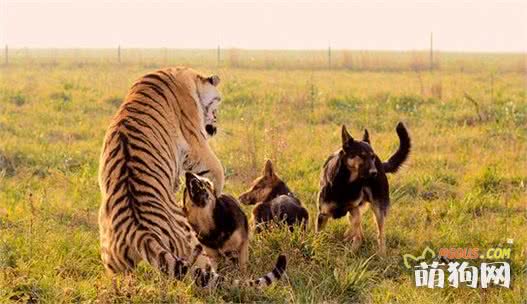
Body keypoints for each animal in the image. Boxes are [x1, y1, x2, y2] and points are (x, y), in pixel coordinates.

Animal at [99, 67, 288, 288]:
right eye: (217, 107)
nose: (214, 127)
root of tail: (140, 232)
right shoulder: (198, 146)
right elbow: (217, 174)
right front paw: (217, 195)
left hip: (112, 259)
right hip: (192, 247)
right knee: (209, 274)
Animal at [316, 121, 410, 254]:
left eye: (372, 157)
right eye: (361, 156)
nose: (374, 173)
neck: (345, 183)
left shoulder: (354, 209)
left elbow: (358, 233)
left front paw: (351, 245)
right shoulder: (323, 214)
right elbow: (318, 236)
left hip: (378, 208)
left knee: (380, 234)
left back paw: (381, 253)